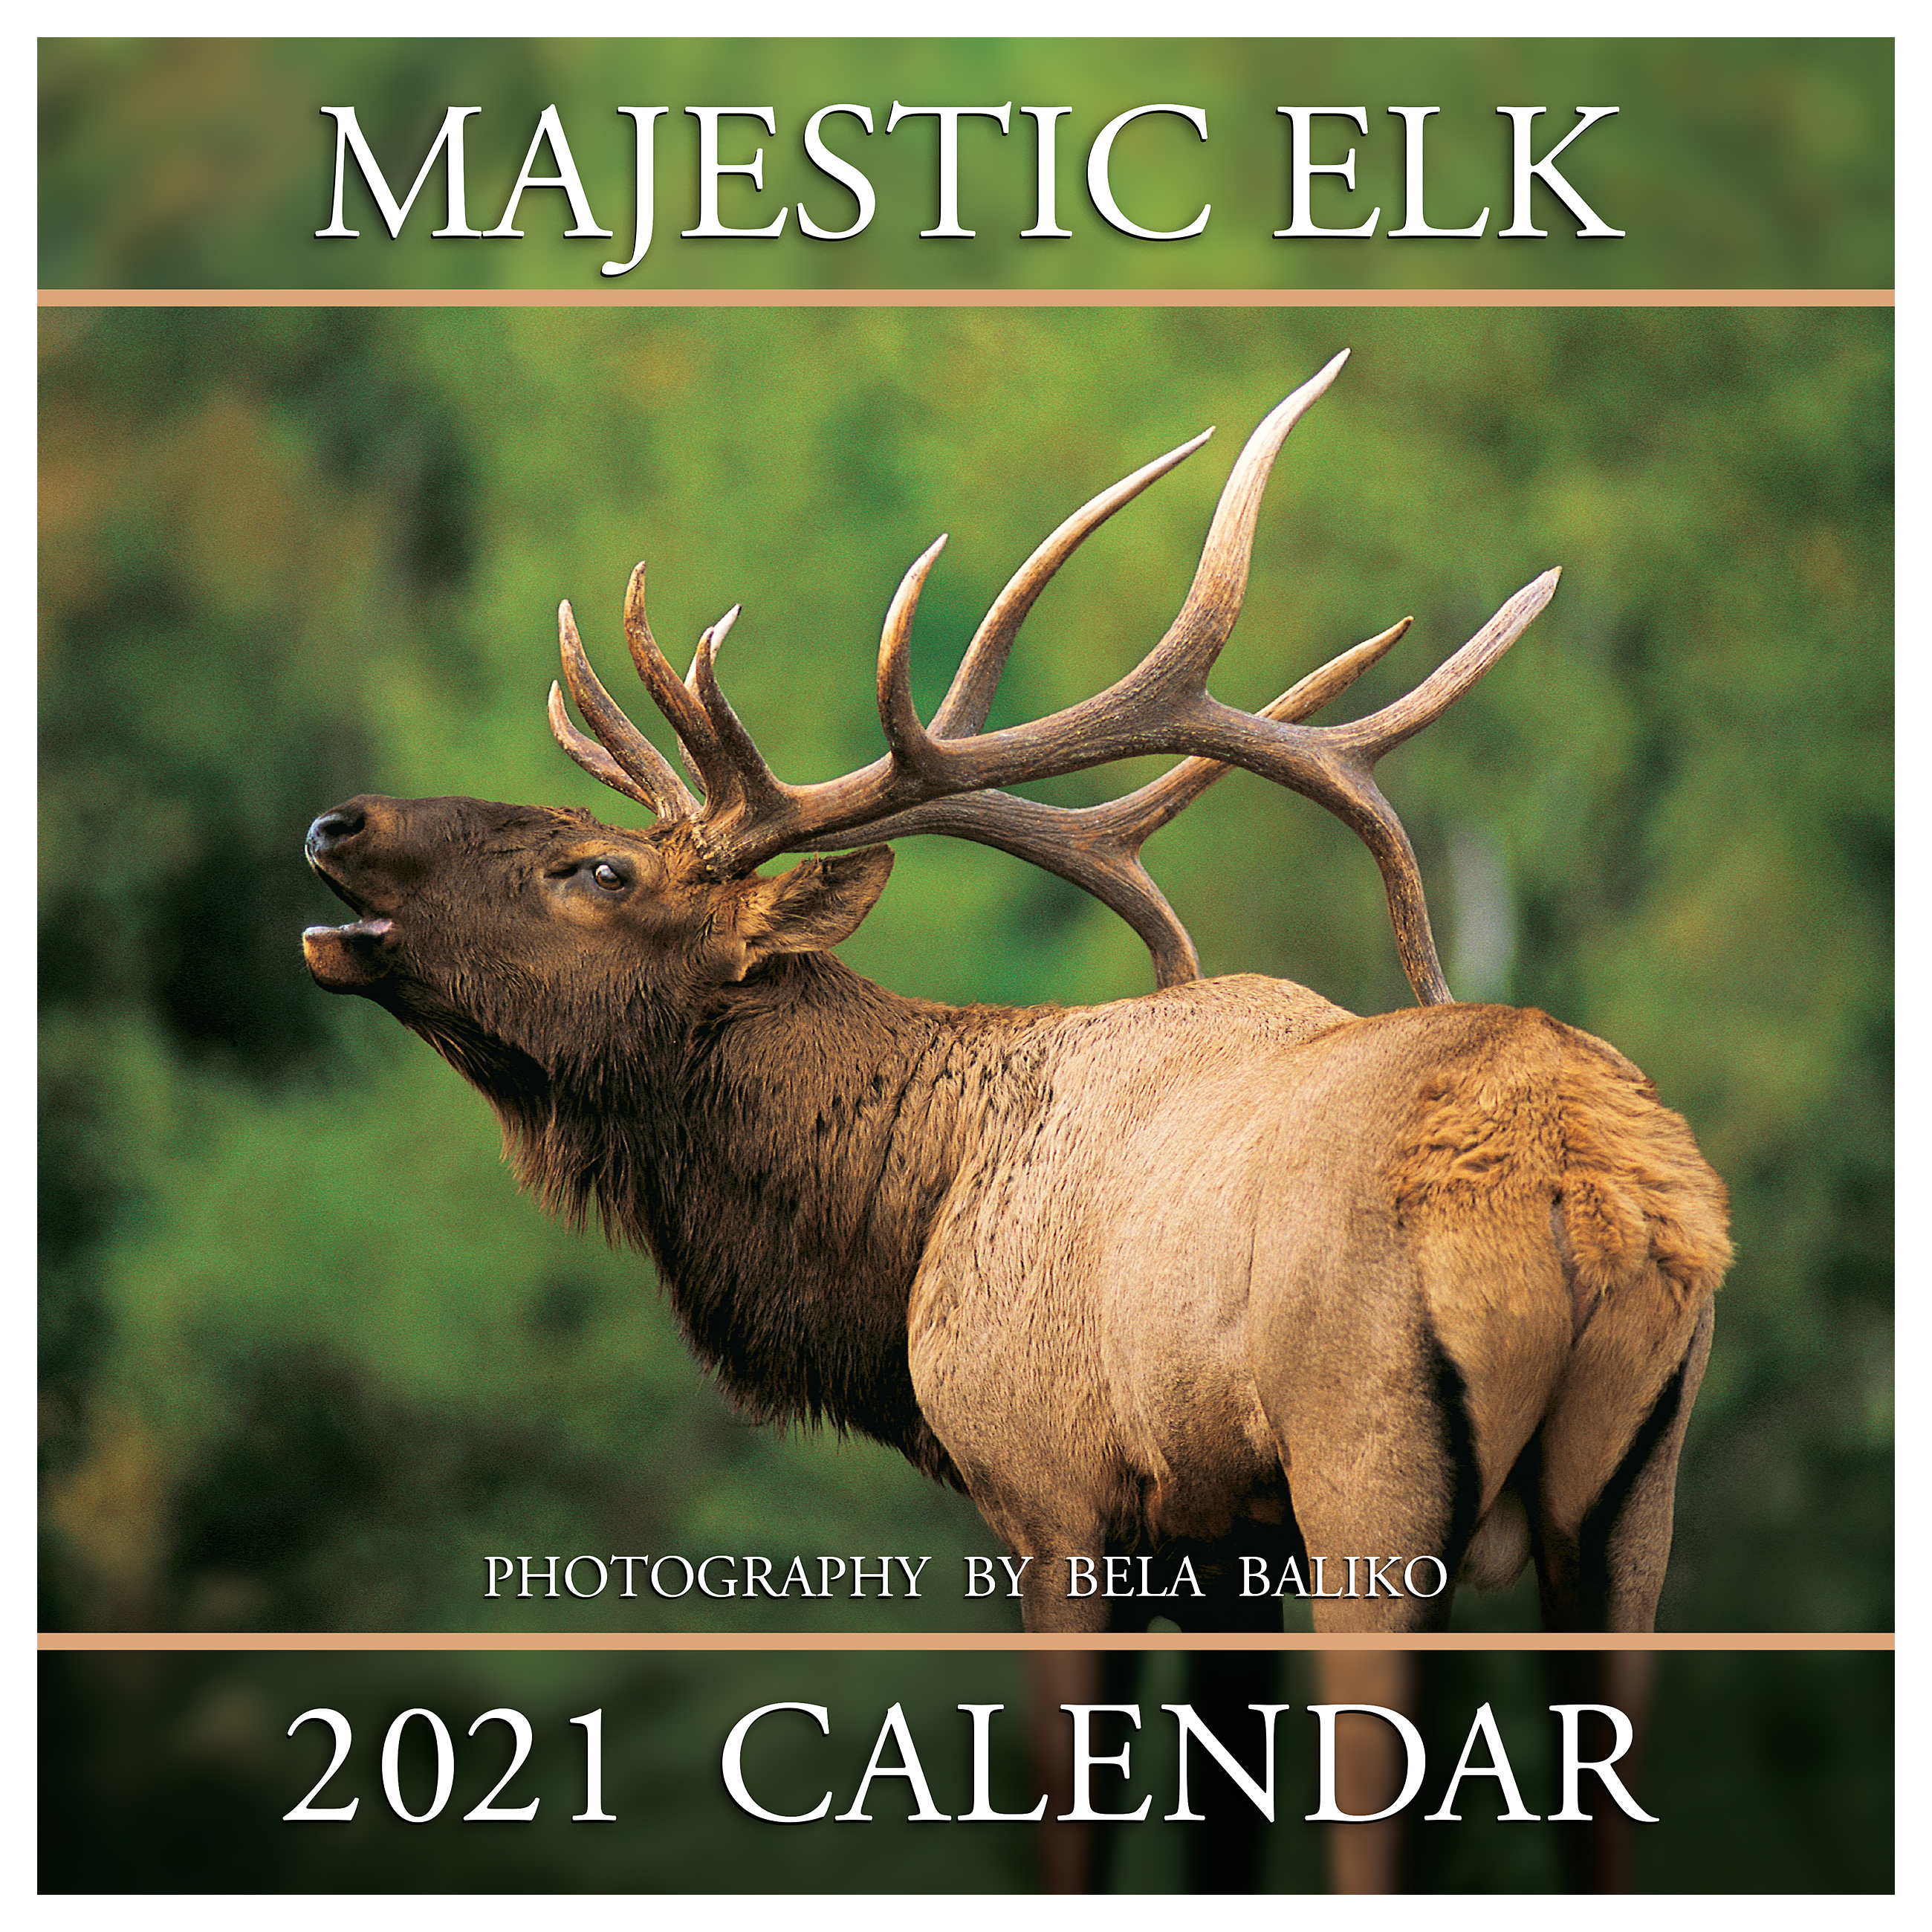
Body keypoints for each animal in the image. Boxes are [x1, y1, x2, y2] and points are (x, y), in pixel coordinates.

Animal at [302, 350, 1728, 1877]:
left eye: (600, 870)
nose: (337, 825)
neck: (912, 1227)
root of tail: (1593, 1203)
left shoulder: (1054, 1498)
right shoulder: (1229, 1550)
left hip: (1374, 1472)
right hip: (1633, 1513)